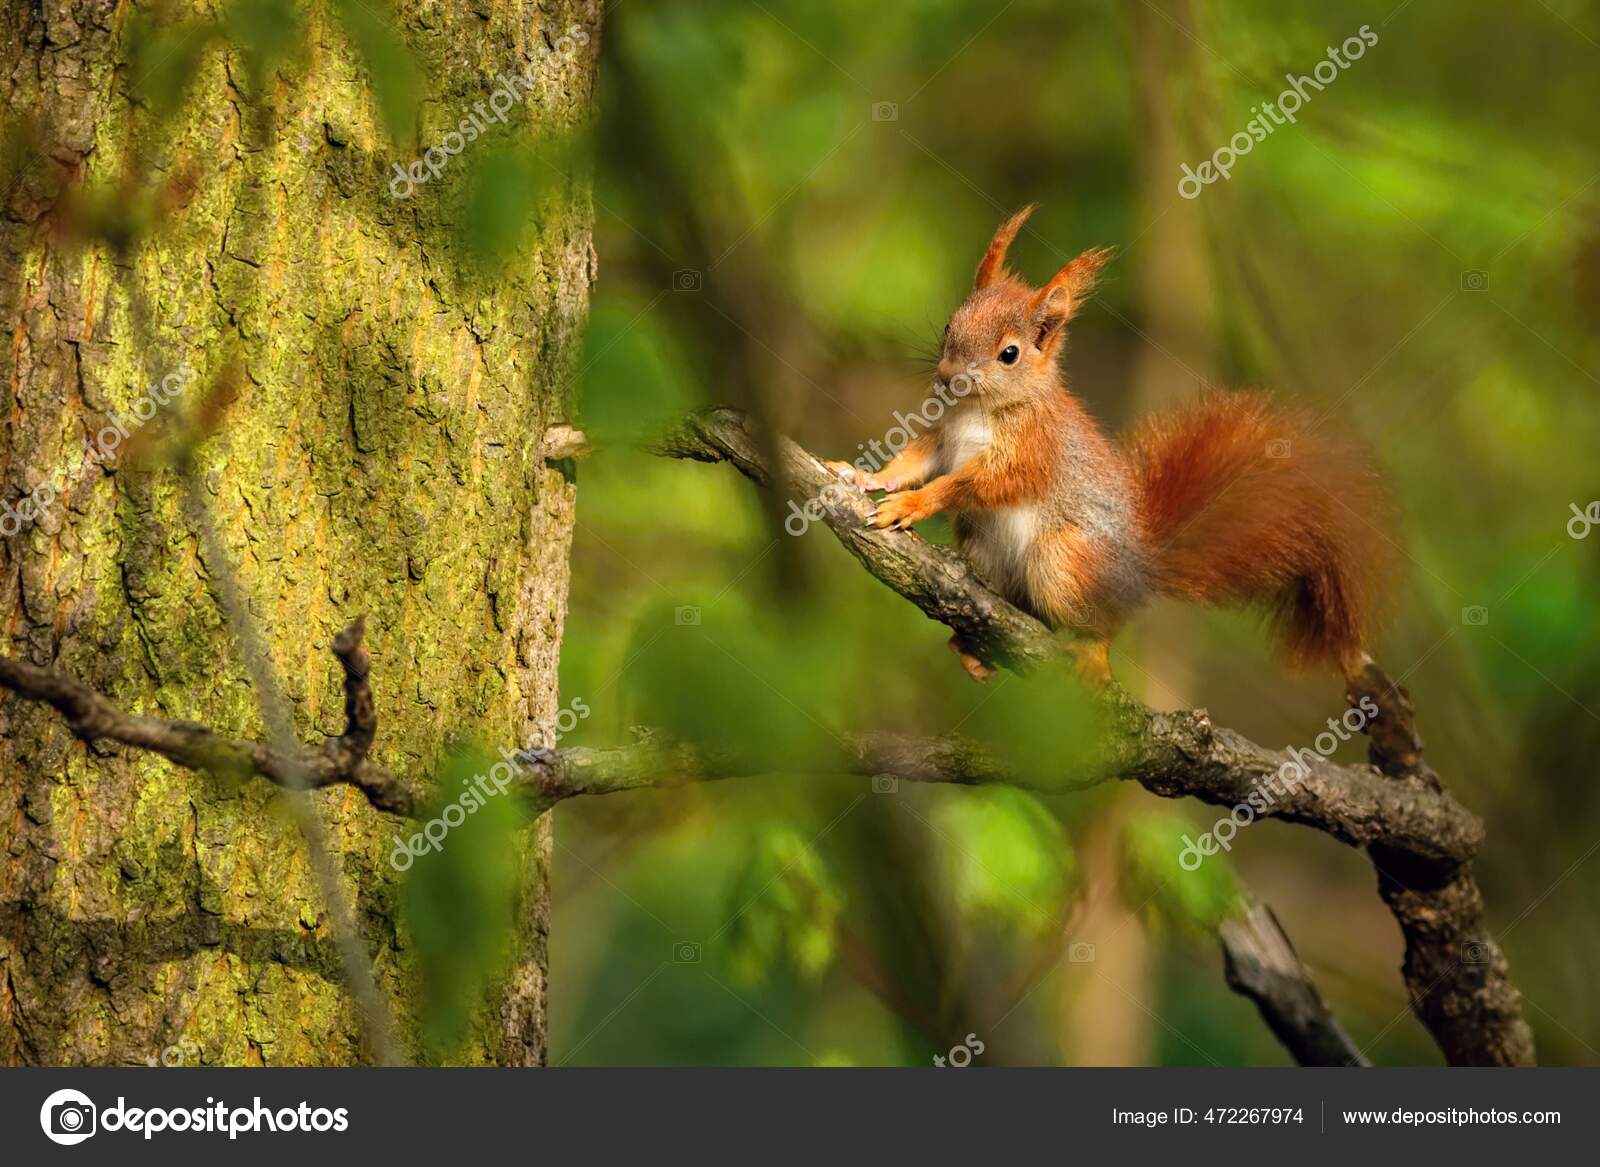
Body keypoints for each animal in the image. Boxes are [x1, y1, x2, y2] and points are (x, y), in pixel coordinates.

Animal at [826, 205, 1394, 684]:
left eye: (1009, 354)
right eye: (949, 324)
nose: (948, 378)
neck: (978, 411)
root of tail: (1140, 568)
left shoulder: (1034, 450)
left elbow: (978, 482)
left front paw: (914, 503)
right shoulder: (941, 436)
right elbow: (910, 461)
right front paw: (865, 477)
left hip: (1063, 560)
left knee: (1101, 620)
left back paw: (1092, 652)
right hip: (986, 552)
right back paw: (970, 646)